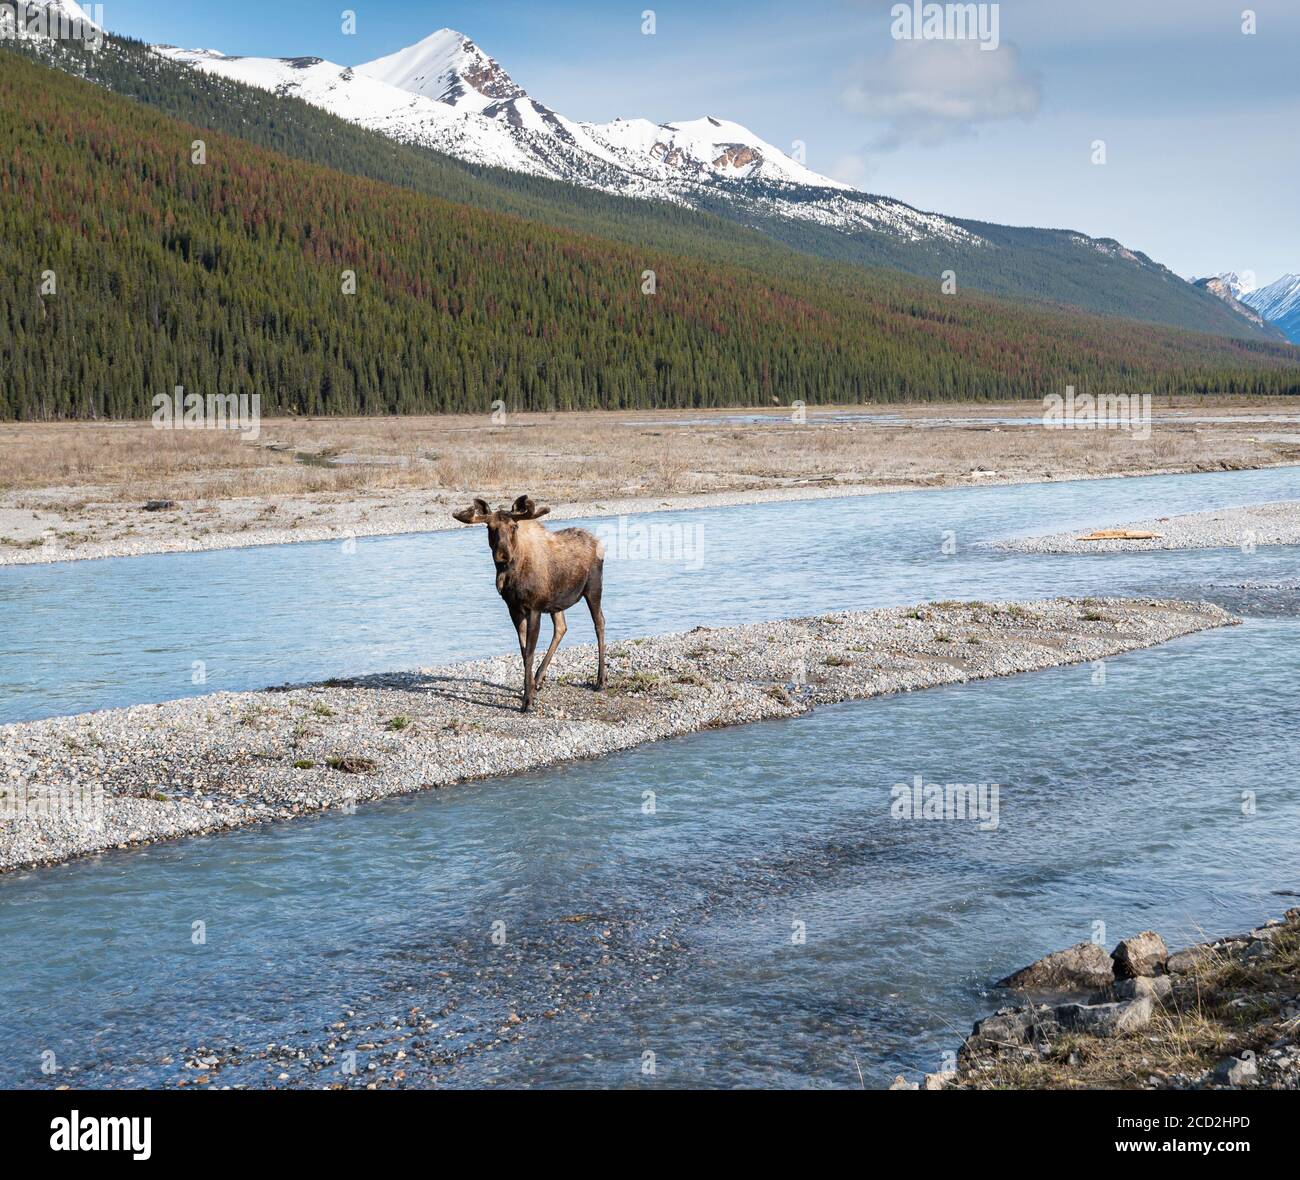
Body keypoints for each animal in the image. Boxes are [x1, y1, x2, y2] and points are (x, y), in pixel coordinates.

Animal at [452, 495, 607, 712]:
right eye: (490, 527)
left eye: (514, 526)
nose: (502, 555)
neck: (511, 575)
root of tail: (598, 541)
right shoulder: (514, 609)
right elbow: (524, 651)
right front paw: (530, 690)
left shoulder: (534, 607)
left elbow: (530, 652)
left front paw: (528, 700)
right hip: (556, 603)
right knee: (562, 627)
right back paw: (539, 679)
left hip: (593, 588)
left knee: (599, 622)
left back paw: (600, 681)